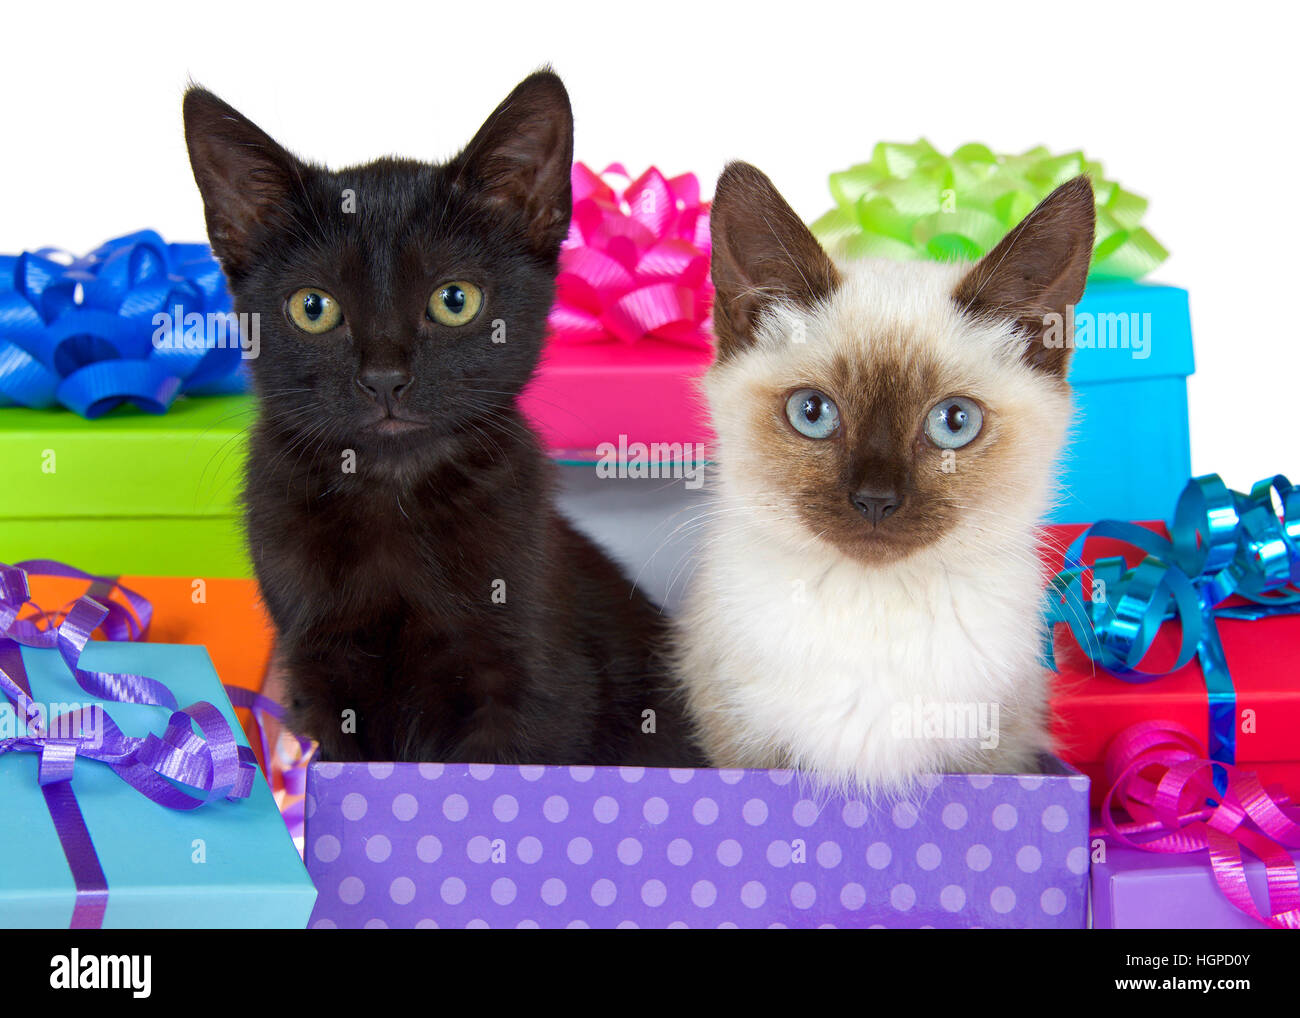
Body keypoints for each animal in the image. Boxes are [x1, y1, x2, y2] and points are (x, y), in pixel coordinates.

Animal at [183, 71, 702, 764]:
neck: (392, 490)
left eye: (455, 301)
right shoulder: (320, 680)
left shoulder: (535, 685)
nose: (384, 377)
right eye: (312, 307)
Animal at [681, 163, 1097, 790]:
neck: (874, 606)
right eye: (813, 413)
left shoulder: (990, 755)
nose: (875, 500)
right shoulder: (744, 744)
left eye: (955, 422)